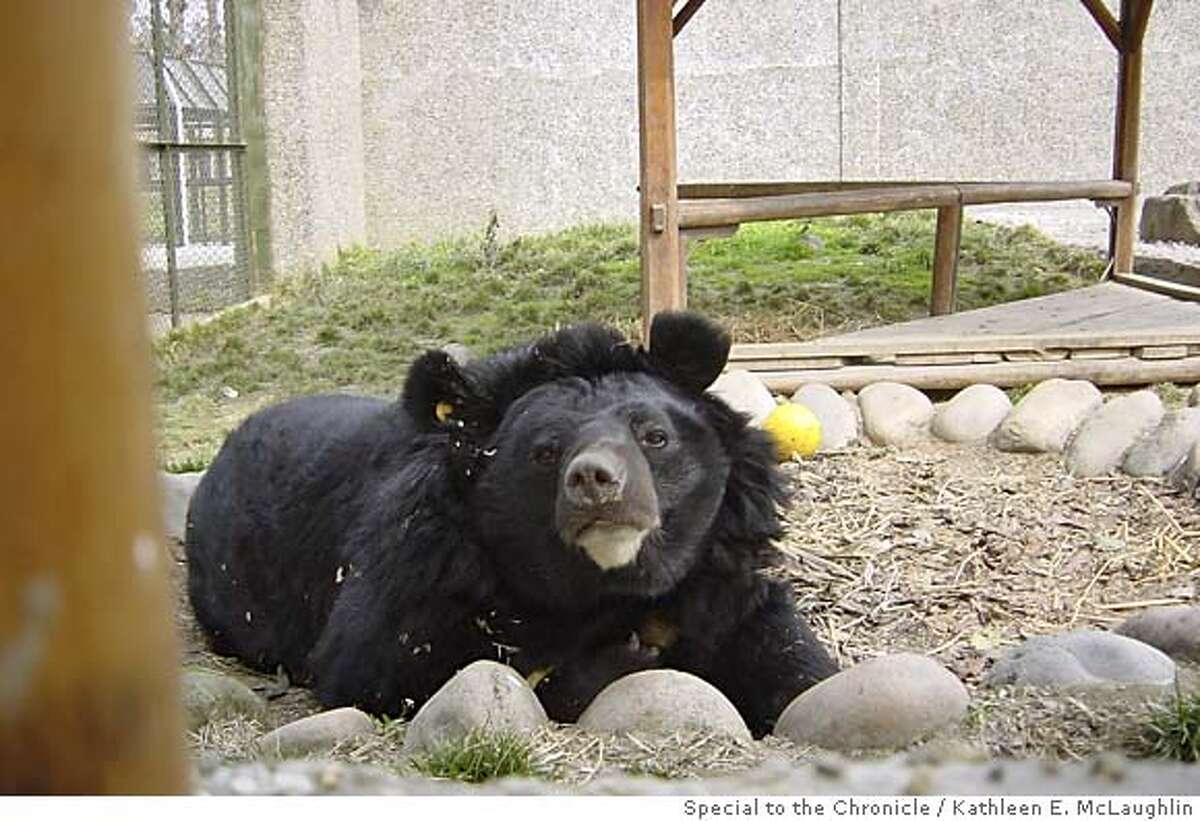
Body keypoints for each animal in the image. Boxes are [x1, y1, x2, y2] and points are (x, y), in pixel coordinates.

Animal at [185, 312, 836, 736]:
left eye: (655, 436)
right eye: (545, 451)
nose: (596, 480)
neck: (609, 586)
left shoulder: (718, 565)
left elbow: (776, 644)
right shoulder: (424, 567)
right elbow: (388, 663)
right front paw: (626, 660)